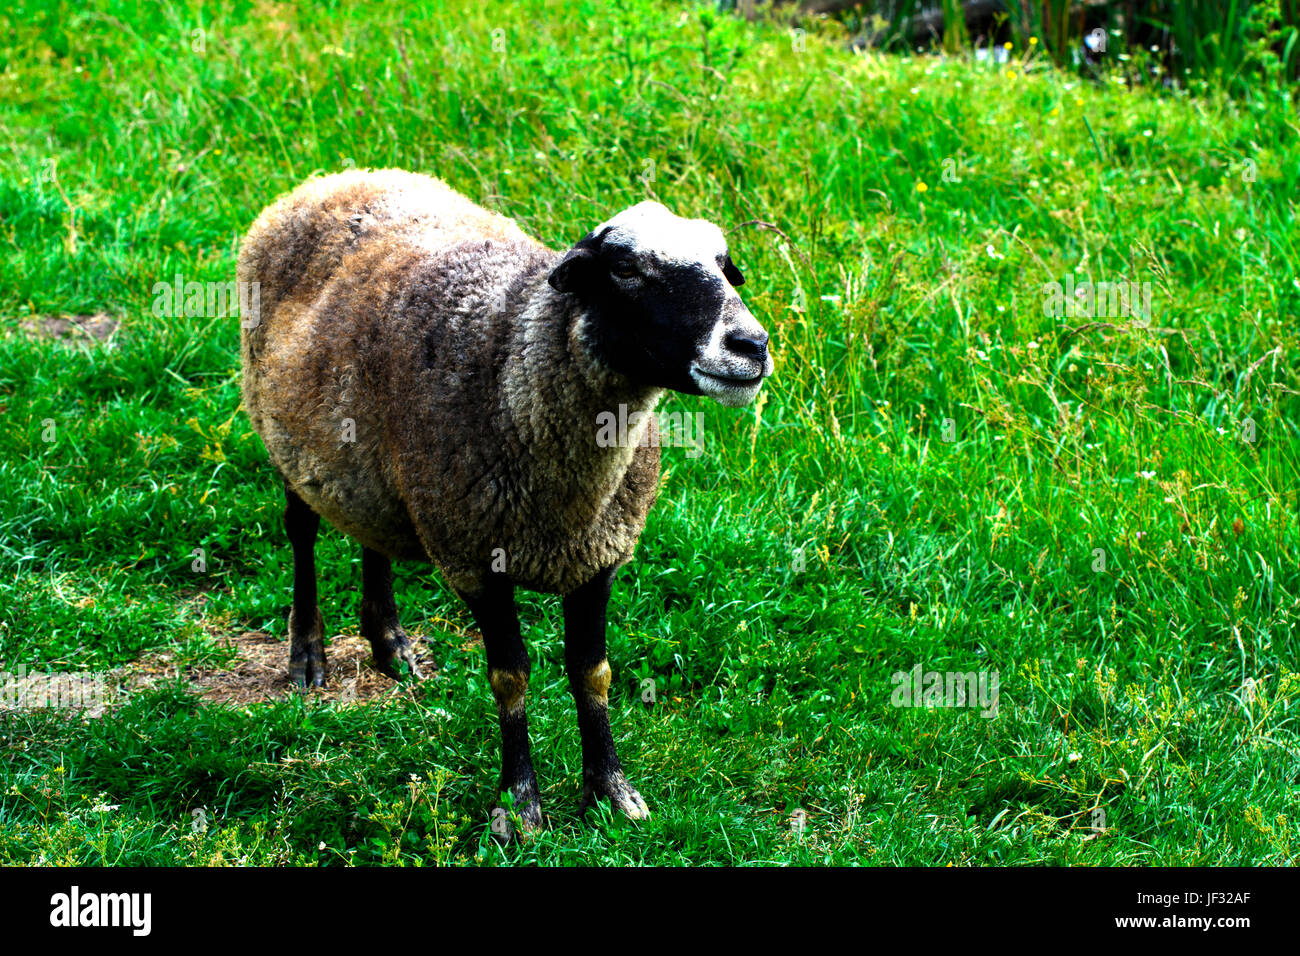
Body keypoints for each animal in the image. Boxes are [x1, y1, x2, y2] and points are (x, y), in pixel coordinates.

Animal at [237, 168, 773, 829]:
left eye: (725, 265)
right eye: (624, 268)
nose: (751, 344)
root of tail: (336, 178)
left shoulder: (598, 555)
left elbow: (592, 672)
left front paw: (611, 791)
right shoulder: (474, 559)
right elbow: (509, 677)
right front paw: (519, 808)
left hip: (366, 464)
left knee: (370, 535)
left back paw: (389, 641)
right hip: (283, 435)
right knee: (301, 533)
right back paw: (307, 653)